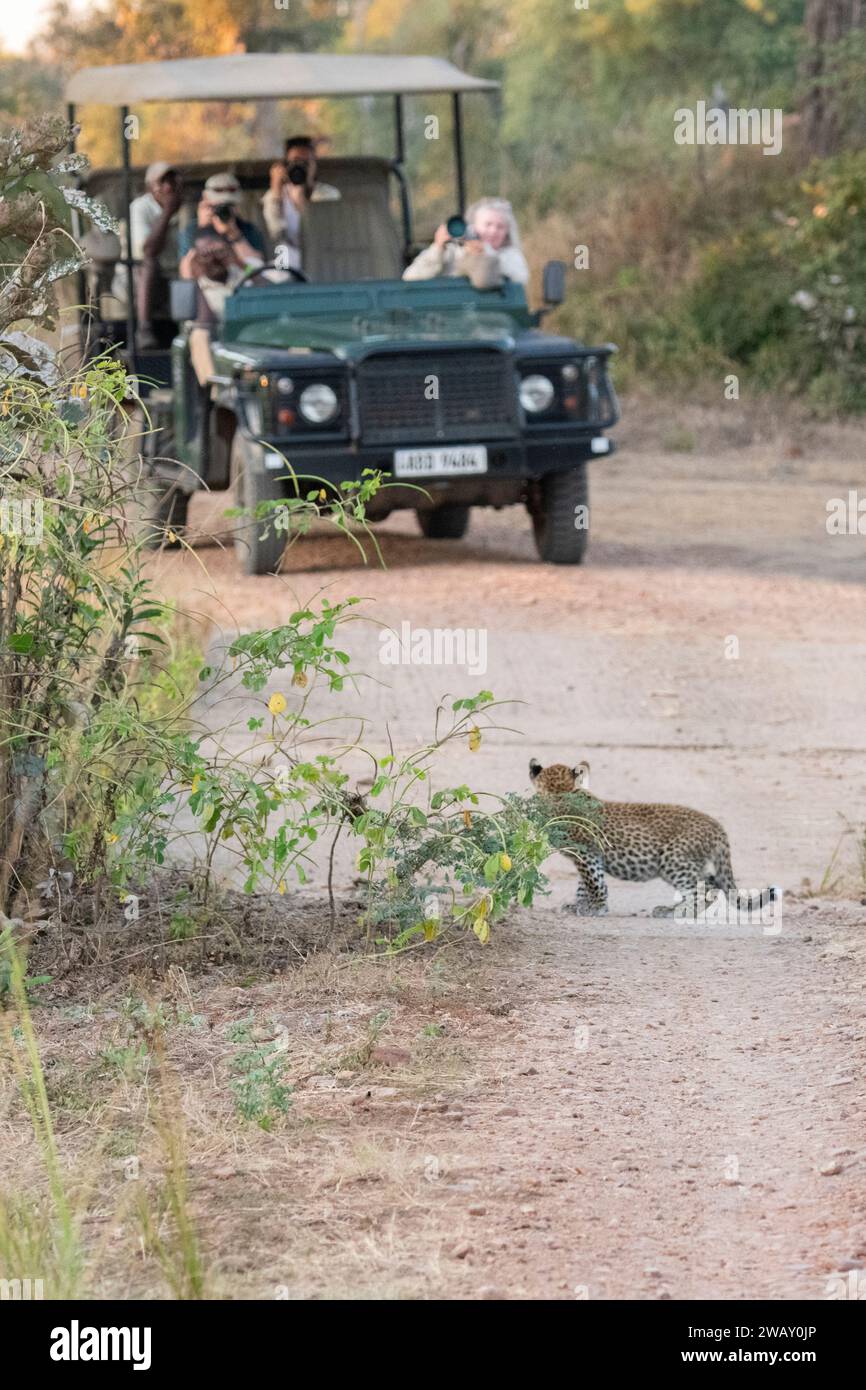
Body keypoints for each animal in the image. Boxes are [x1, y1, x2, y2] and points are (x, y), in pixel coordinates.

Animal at [529, 757, 779, 920]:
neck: (558, 793)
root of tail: (717, 827)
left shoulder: (585, 852)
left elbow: (594, 883)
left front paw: (595, 908)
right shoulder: (590, 856)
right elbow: (587, 883)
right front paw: (580, 905)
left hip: (673, 858)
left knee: (702, 888)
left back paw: (676, 911)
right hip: (693, 863)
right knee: (712, 884)